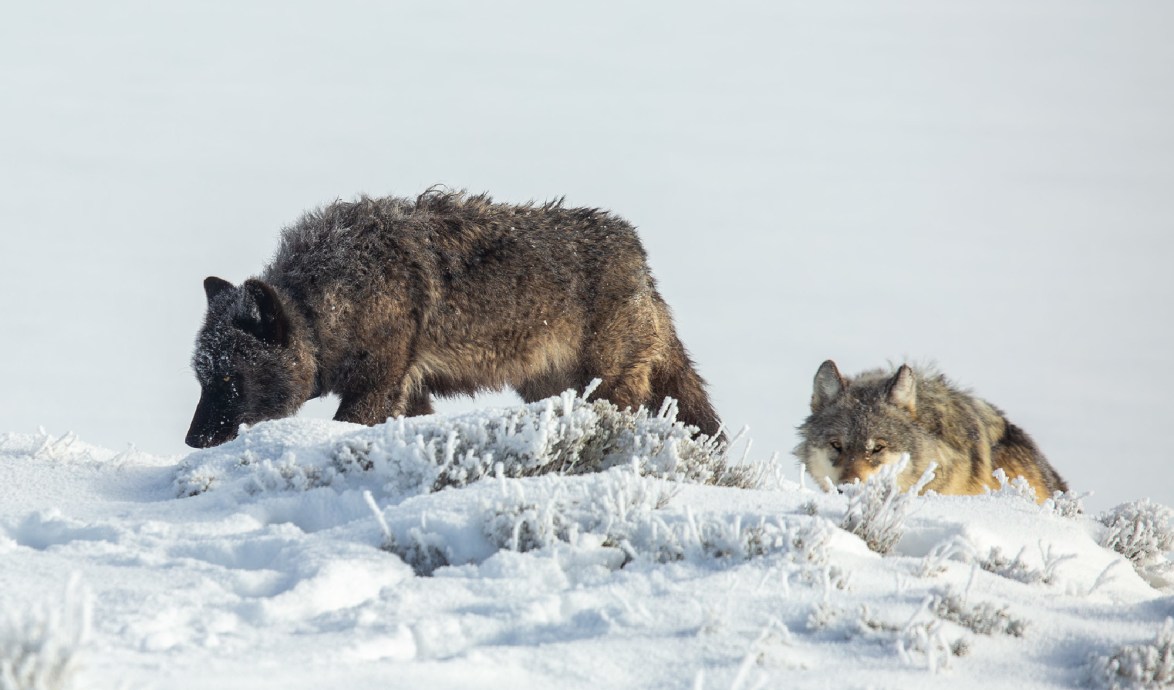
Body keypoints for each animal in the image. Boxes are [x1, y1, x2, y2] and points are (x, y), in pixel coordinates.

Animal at [185, 189, 722, 448]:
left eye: (232, 378)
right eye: (203, 379)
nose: (193, 440)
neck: (326, 306)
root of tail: (641, 261)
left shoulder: (375, 388)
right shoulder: (408, 392)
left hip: (604, 389)